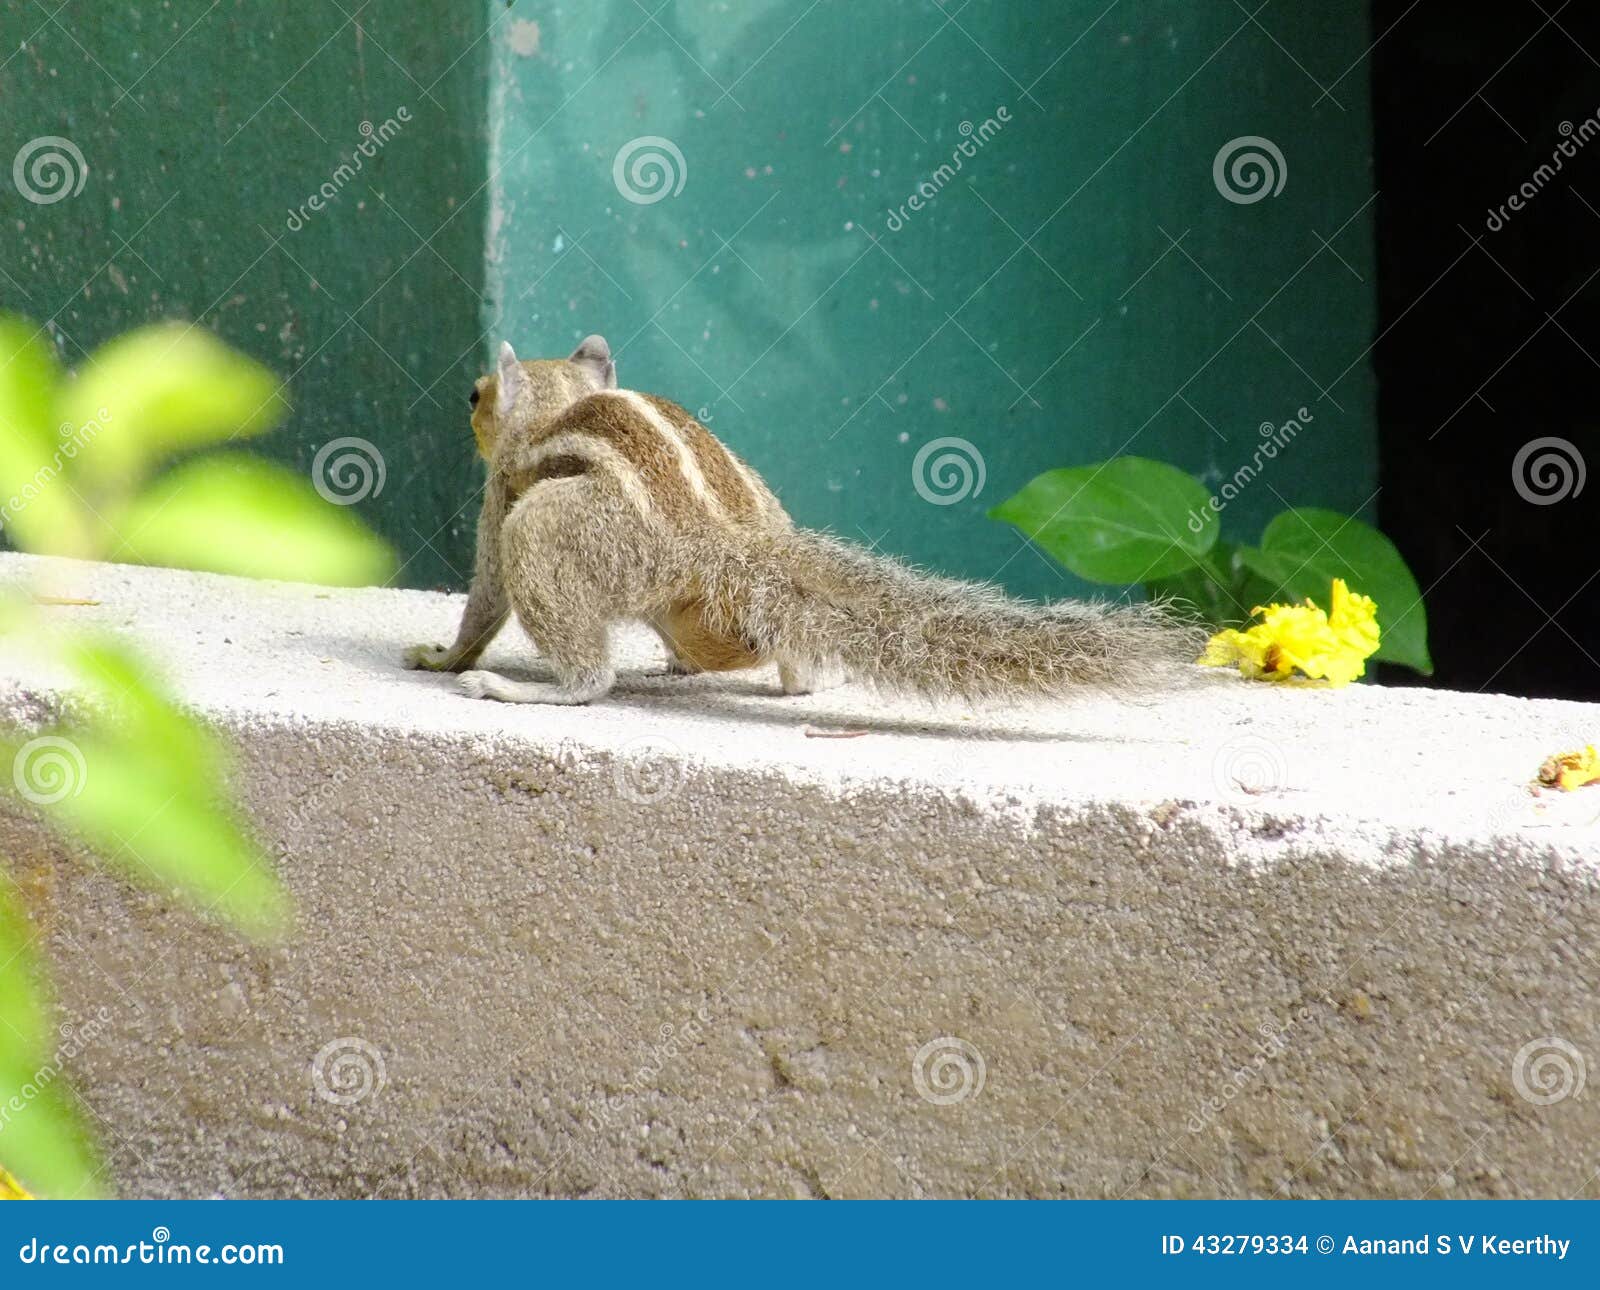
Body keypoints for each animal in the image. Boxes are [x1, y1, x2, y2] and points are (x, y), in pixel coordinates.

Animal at [405, 335, 1204, 705]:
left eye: (475, 395)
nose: (465, 402)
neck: (554, 410)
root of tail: (727, 543)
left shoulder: (500, 499)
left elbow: (486, 599)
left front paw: (445, 659)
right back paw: (803, 678)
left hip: (550, 530)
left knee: (591, 676)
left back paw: (526, 687)